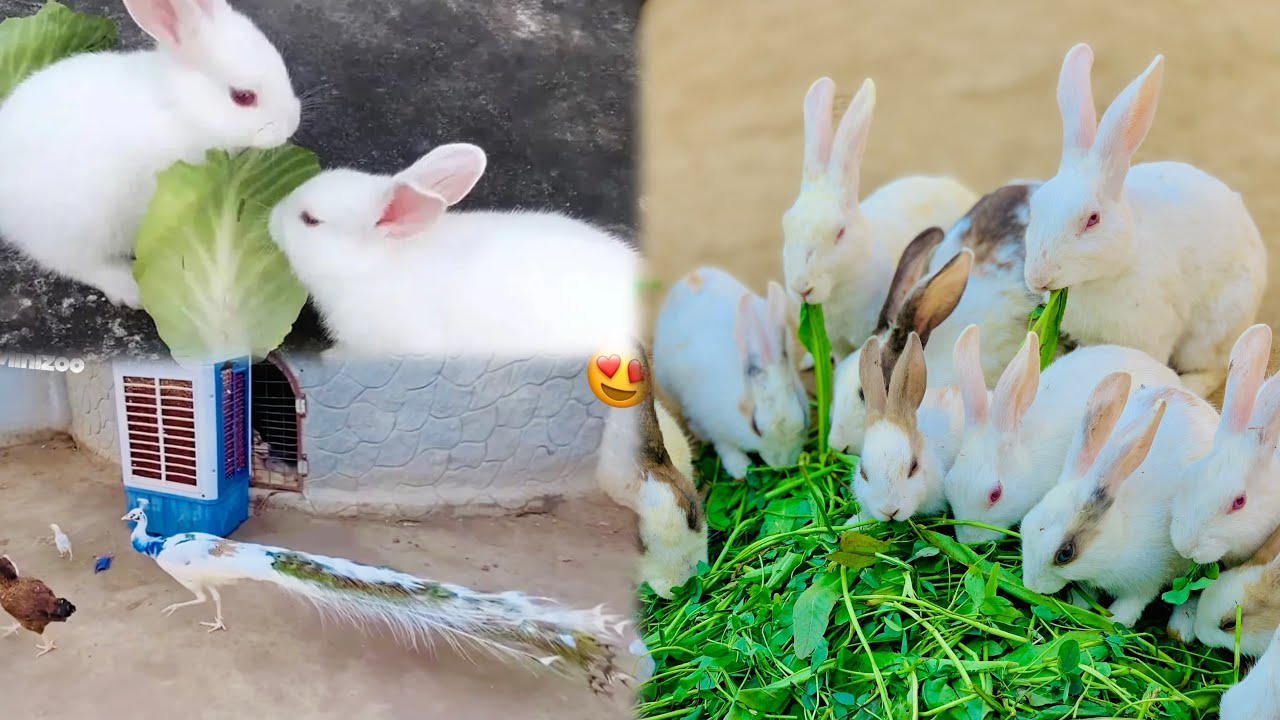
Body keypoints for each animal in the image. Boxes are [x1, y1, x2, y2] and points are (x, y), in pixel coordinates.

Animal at [0, 0, 302, 309]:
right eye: (243, 97)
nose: (292, 124)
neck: (183, 109)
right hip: (82, 222)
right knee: (69, 261)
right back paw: (127, 288)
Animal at [653, 267, 809, 480]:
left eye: (803, 415)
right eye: (755, 427)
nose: (783, 465)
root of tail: (692, 276)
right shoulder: (710, 420)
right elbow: (725, 446)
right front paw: (741, 469)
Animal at [1020, 374, 1217, 627]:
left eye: (1065, 553)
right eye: (1024, 525)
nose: (1031, 586)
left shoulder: (1148, 580)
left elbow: (1131, 606)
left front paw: (1116, 621)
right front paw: (1080, 606)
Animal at [1023, 43, 1266, 399]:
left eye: (1092, 219)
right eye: (1034, 207)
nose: (1038, 278)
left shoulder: (1150, 337)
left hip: (1214, 330)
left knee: (1215, 369)